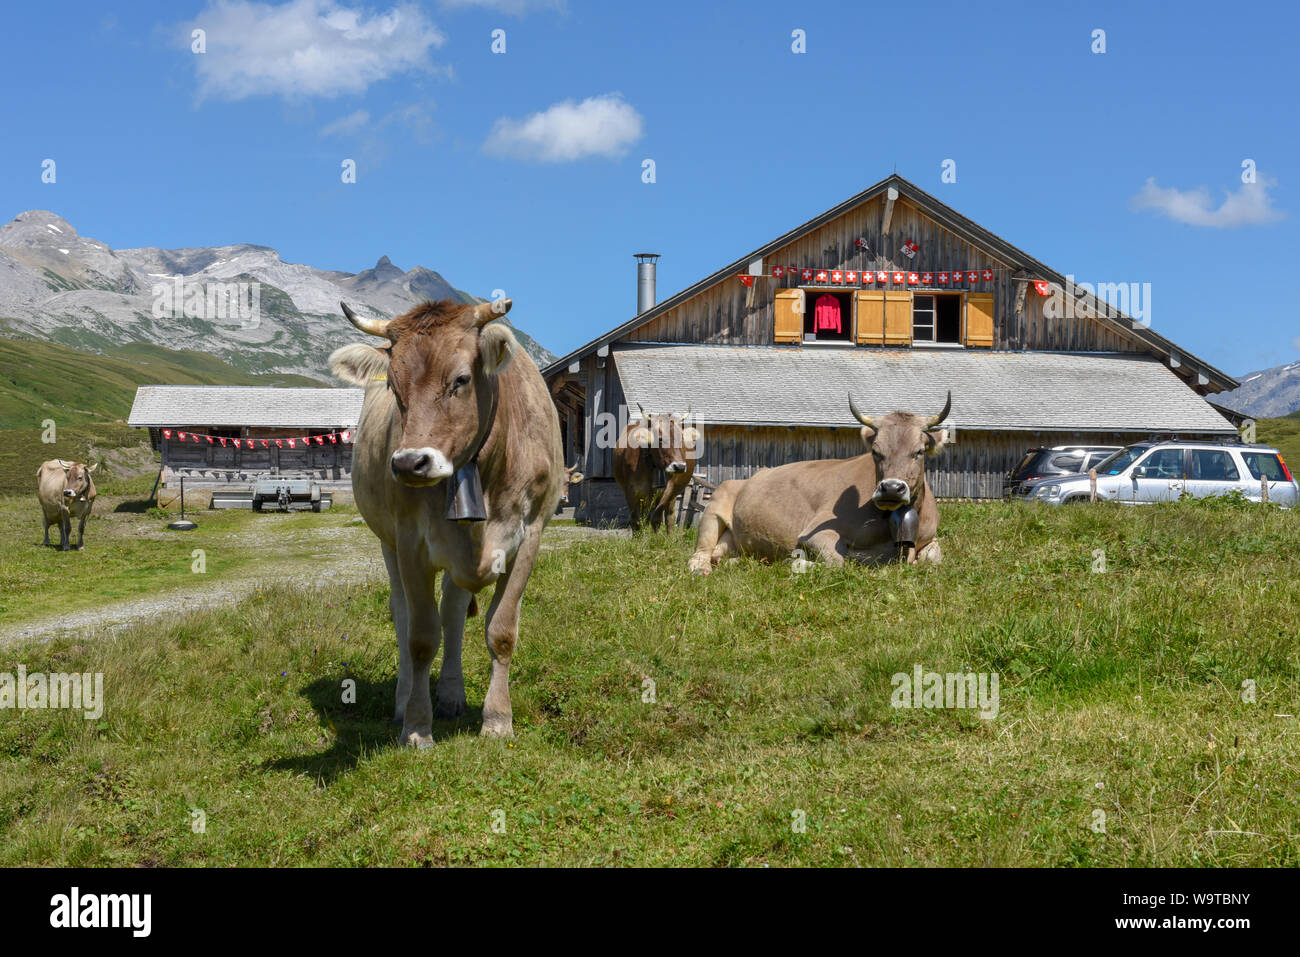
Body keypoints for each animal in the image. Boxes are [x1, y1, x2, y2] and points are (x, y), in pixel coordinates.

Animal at [329, 297, 563, 745]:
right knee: (402, 612)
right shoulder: (411, 543)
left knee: (453, 607)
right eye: (393, 386)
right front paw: (418, 727)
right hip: (388, 543)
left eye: (461, 379)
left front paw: (497, 719)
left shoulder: (529, 537)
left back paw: (453, 695)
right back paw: (403, 703)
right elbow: (421, 637)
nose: (409, 463)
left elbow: (501, 631)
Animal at [687, 392, 951, 574]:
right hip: (714, 507)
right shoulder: (814, 535)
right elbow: (837, 562)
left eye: (919, 451)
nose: (891, 489)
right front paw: (797, 563)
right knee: (700, 552)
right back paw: (701, 567)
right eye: (876, 452)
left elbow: (935, 559)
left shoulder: (930, 539)